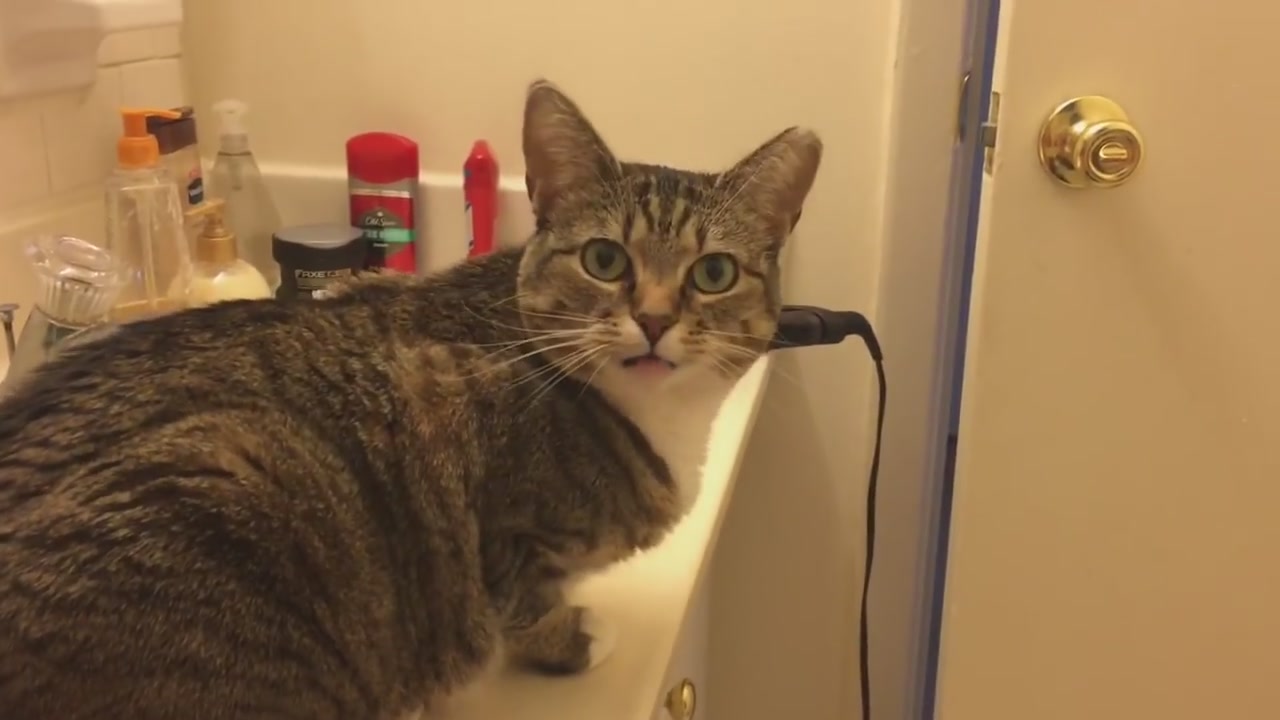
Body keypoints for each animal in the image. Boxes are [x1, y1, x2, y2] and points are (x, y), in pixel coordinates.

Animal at [0, 79, 822, 720]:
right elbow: (522, 603)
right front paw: (573, 637)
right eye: (604, 259)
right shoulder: (499, 520)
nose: (653, 320)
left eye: (713, 273)